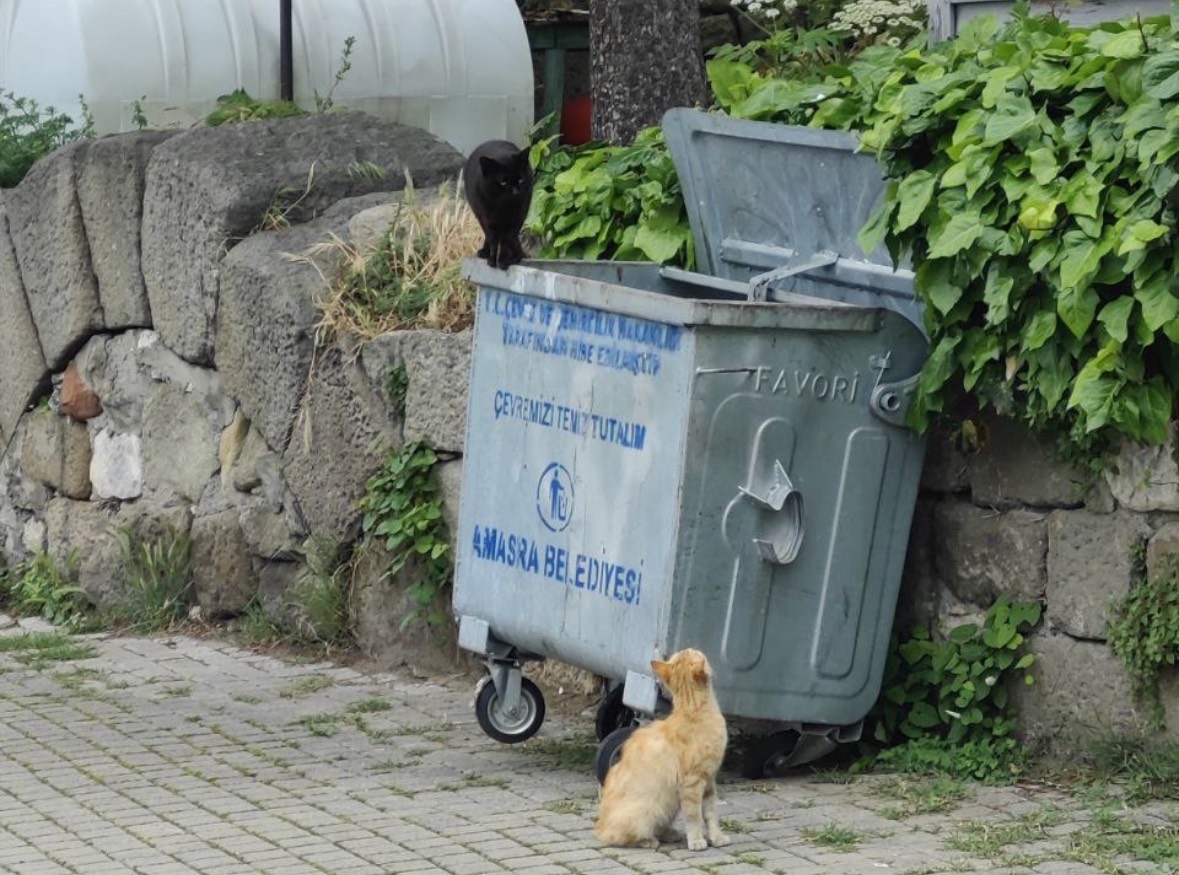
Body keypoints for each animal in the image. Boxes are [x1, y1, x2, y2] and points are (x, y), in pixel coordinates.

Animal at [459, 139, 535, 271]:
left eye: (520, 180)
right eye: (503, 182)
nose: (515, 192)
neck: (502, 208)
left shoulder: (516, 218)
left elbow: (507, 239)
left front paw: (503, 260)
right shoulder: (487, 219)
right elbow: (493, 240)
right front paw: (492, 260)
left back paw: (517, 255)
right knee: (488, 236)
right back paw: (485, 252)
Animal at [598, 650, 726, 849]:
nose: (692, 647)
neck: (694, 711)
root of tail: (599, 828)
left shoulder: (710, 780)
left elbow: (711, 813)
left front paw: (717, 837)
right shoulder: (692, 783)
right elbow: (694, 816)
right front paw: (697, 839)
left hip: (669, 807)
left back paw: (669, 833)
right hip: (649, 809)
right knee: (621, 837)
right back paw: (648, 840)